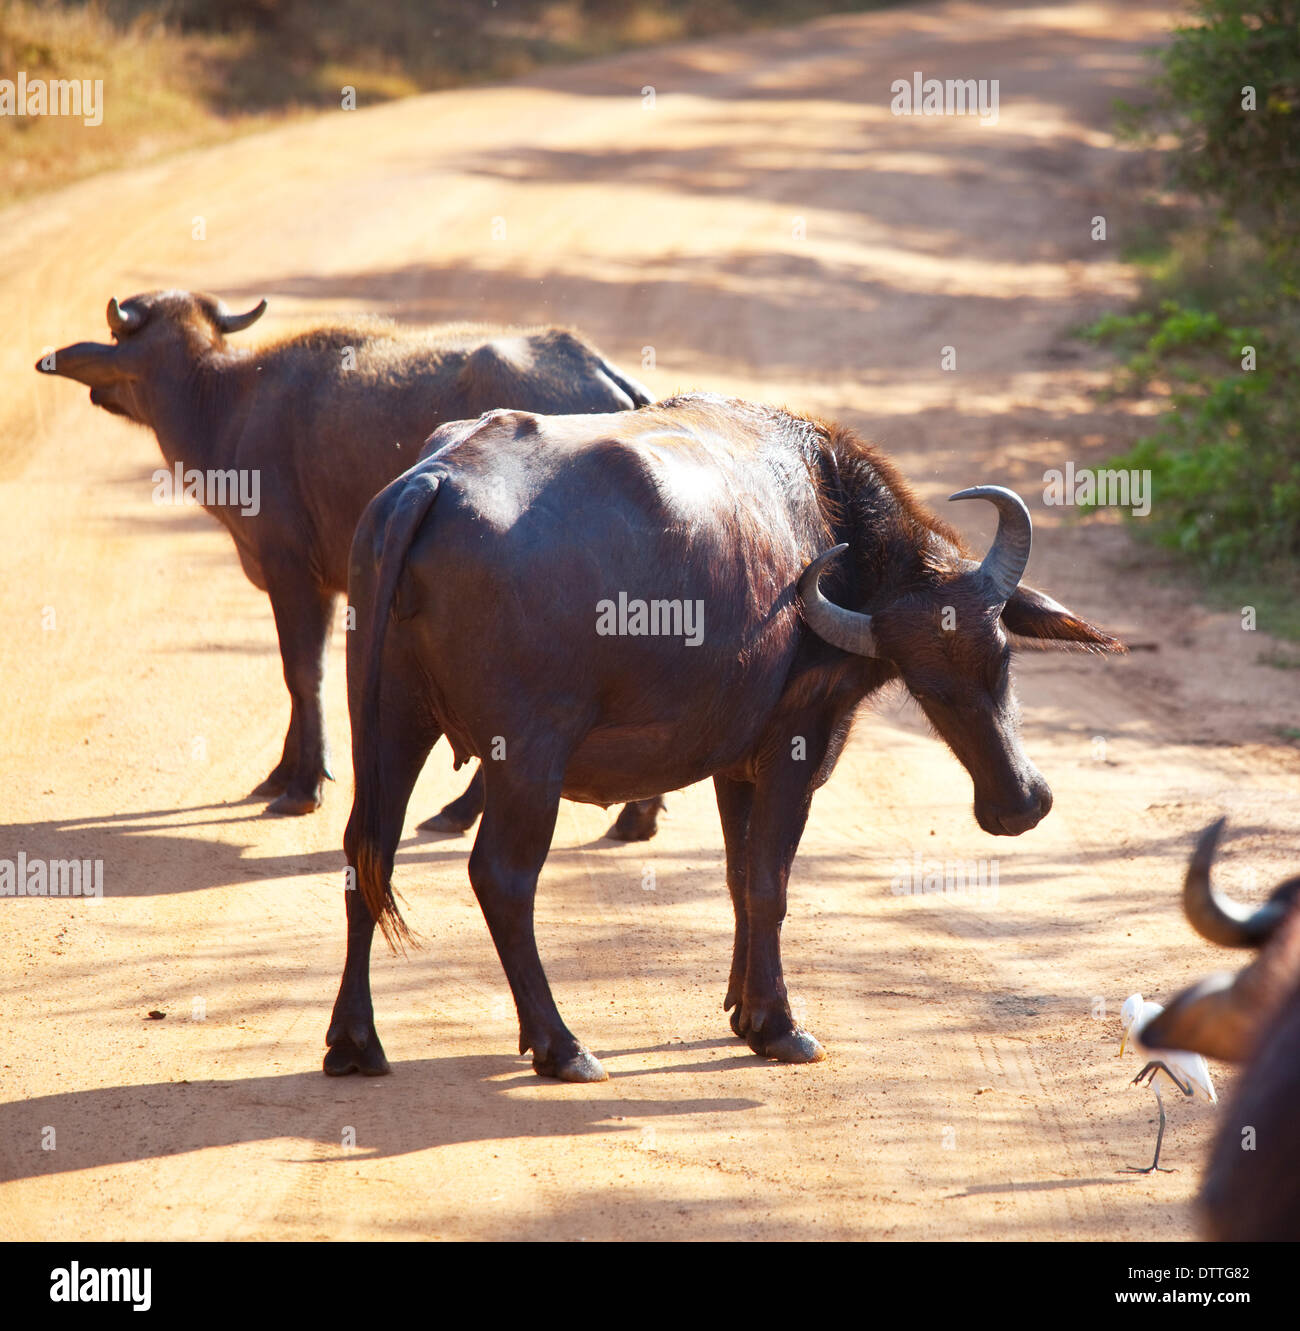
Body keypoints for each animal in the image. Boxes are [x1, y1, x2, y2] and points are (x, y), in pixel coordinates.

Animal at [36, 290, 661, 838]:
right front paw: (282, 774)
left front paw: (302, 785)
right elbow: (297, 676)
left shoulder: (290, 570)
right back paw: (634, 817)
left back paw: (465, 811)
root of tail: (606, 377)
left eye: (119, 338)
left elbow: (301, 672)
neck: (225, 402)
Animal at [325, 394, 1124, 1081]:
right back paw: (561, 1045)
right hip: (526, 759)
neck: (827, 517)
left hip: (386, 723)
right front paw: (778, 1026)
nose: (1019, 805)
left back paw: (355, 1040)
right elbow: (769, 882)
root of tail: (431, 480)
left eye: (1002, 656)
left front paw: (743, 1008)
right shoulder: (794, 744)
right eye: (926, 686)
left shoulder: (732, 763)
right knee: (500, 877)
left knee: (366, 852)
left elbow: (739, 878)